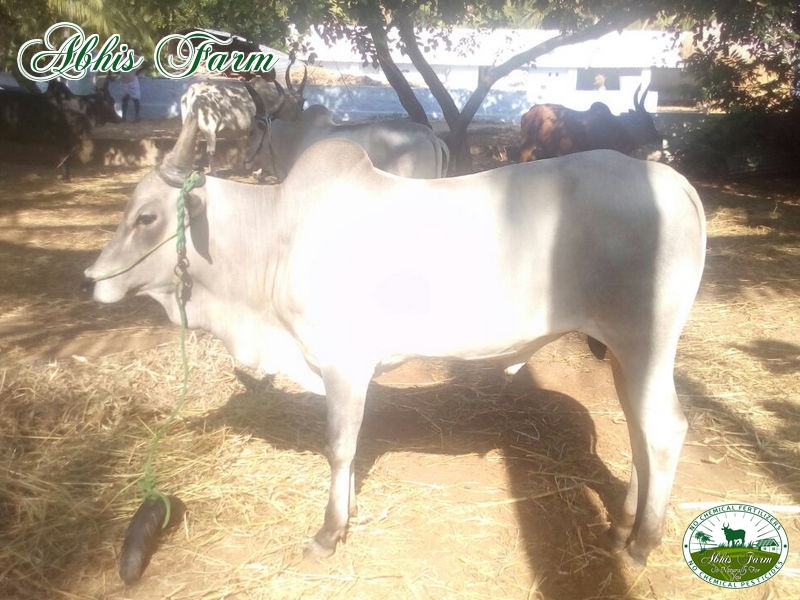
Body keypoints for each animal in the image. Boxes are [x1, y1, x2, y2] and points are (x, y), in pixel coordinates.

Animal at [83, 115, 706, 566]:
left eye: (146, 217)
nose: (94, 279)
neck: (275, 238)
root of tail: (673, 182)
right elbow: (348, 451)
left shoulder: (342, 364)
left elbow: (338, 447)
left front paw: (329, 532)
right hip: (626, 351)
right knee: (639, 428)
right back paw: (622, 525)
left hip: (646, 343)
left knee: (665, 430)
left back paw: (642, 543)